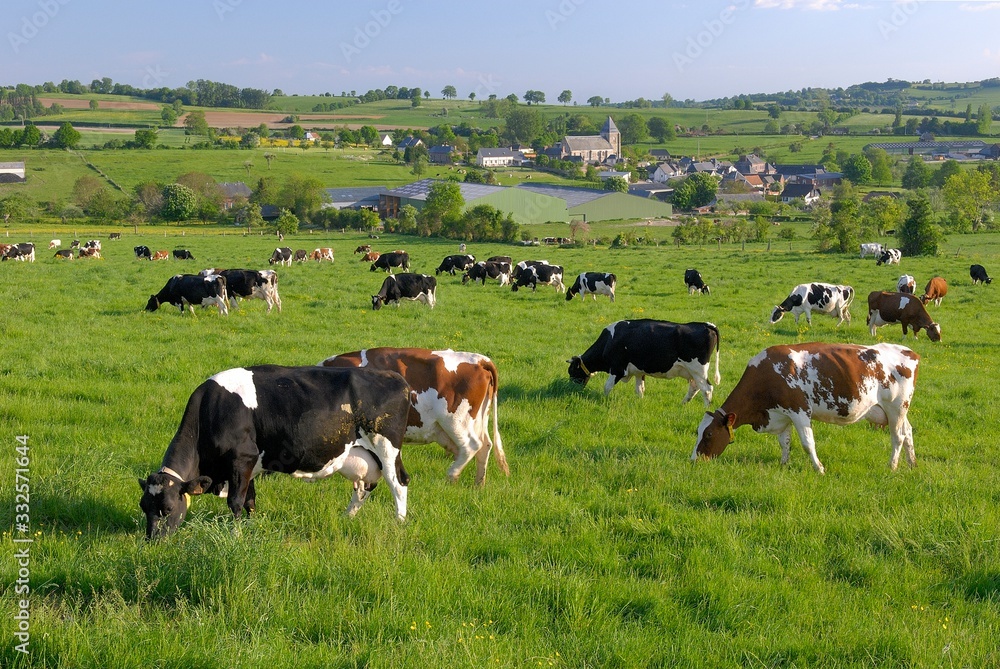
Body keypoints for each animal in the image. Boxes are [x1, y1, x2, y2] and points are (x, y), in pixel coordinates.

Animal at [138, 365, 412, 538]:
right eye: (143, 506)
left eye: (168, 509)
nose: (152, 541)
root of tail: (396, 377)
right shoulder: (249, 467)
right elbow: (250, 501)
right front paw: (250, 529)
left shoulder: (241, 459)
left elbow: (235, 502)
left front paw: (235, 536)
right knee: (363, 488)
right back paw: (347, 517)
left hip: (386, 447)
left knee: (398, 483)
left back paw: (399, 523)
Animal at [320, 348, 509, 485]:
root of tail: (480, 359)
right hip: (478, 419)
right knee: (485, 445)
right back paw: (478, 484)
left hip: (456, 421)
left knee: (472, 445)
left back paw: (452, 475)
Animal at [567, 319, 721, 405]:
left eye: (572, 371)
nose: (571, 389)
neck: (609, 340)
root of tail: (706, 325)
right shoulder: (638, 371)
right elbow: (639, 389)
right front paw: (640, 402)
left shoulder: (617, 369)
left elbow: (607, 387)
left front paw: (603, 400)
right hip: (691, 373)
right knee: (695, 388)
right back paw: (682, 404)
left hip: (698, 370)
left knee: (707, 389)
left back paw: (706, 410)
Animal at [691, 343, 920, 474]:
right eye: (698, 432)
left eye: (709, 434)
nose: (694, 460)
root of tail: (909, 352)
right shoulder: (780, 414)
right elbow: (784, 443)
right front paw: (783, 465)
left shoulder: (799, 411)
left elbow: (808, 443)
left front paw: (819, 469)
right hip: (898, 411)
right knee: (908, 432)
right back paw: (912, 463)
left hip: (896, 407)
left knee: (898, 437)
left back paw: (892, 467)